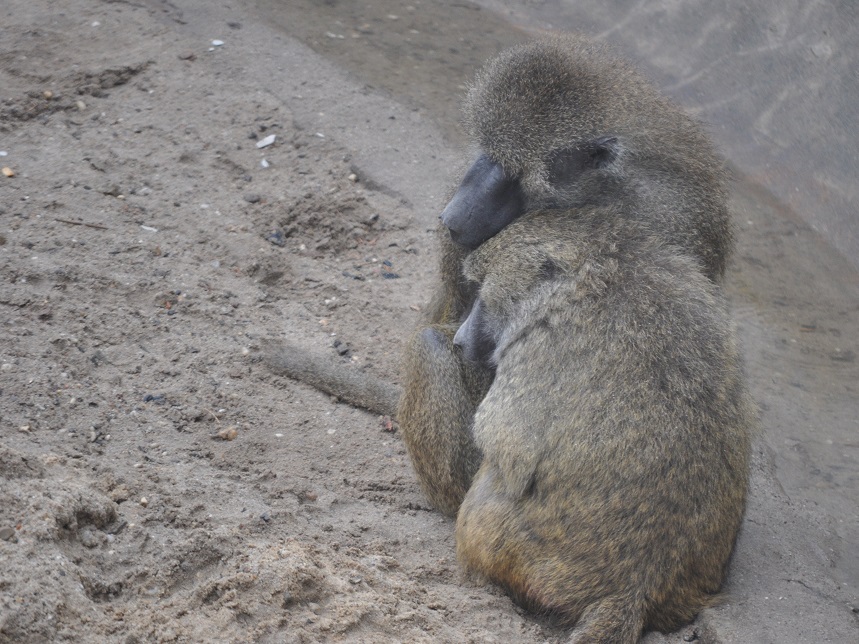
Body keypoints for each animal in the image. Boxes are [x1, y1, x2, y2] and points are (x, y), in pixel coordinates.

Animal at [451, 206, 754, 642]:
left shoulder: (543, 343)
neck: (602, 271)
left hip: (512, 547)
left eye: (481, 293)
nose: (458, 340)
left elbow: (507, 451)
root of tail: (637, 587)